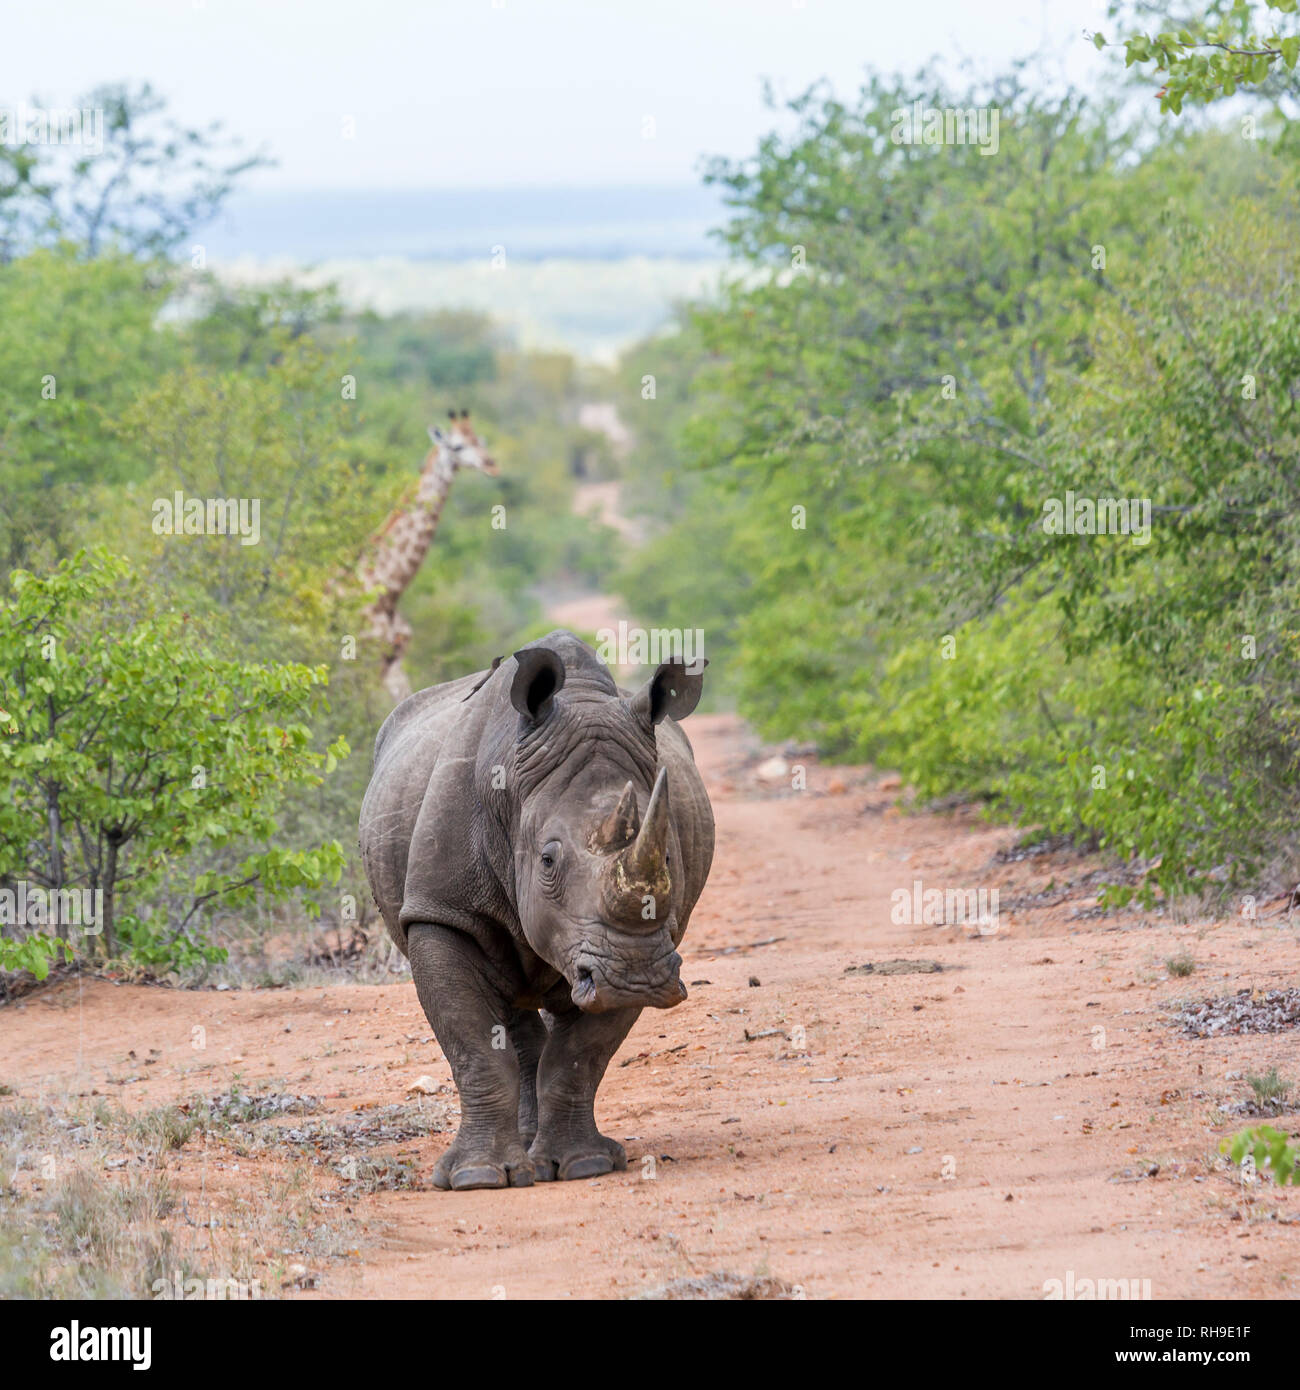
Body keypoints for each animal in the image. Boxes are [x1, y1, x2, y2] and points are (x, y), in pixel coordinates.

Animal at [358, 409, 499, 704]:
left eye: (479, 440)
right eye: (457, 446)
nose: (491, 464)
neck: (388, 591)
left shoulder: (394, 659)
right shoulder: (368, 659)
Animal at [359, 630, 714, 1190]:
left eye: (668, 859)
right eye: (547, 860)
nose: (634, 979)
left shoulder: (650, 941)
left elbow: (580, 1058)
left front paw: (585, 1165)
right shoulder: (439, 911)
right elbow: (473, 1047)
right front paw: (477, 1178)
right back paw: (520, 1153)